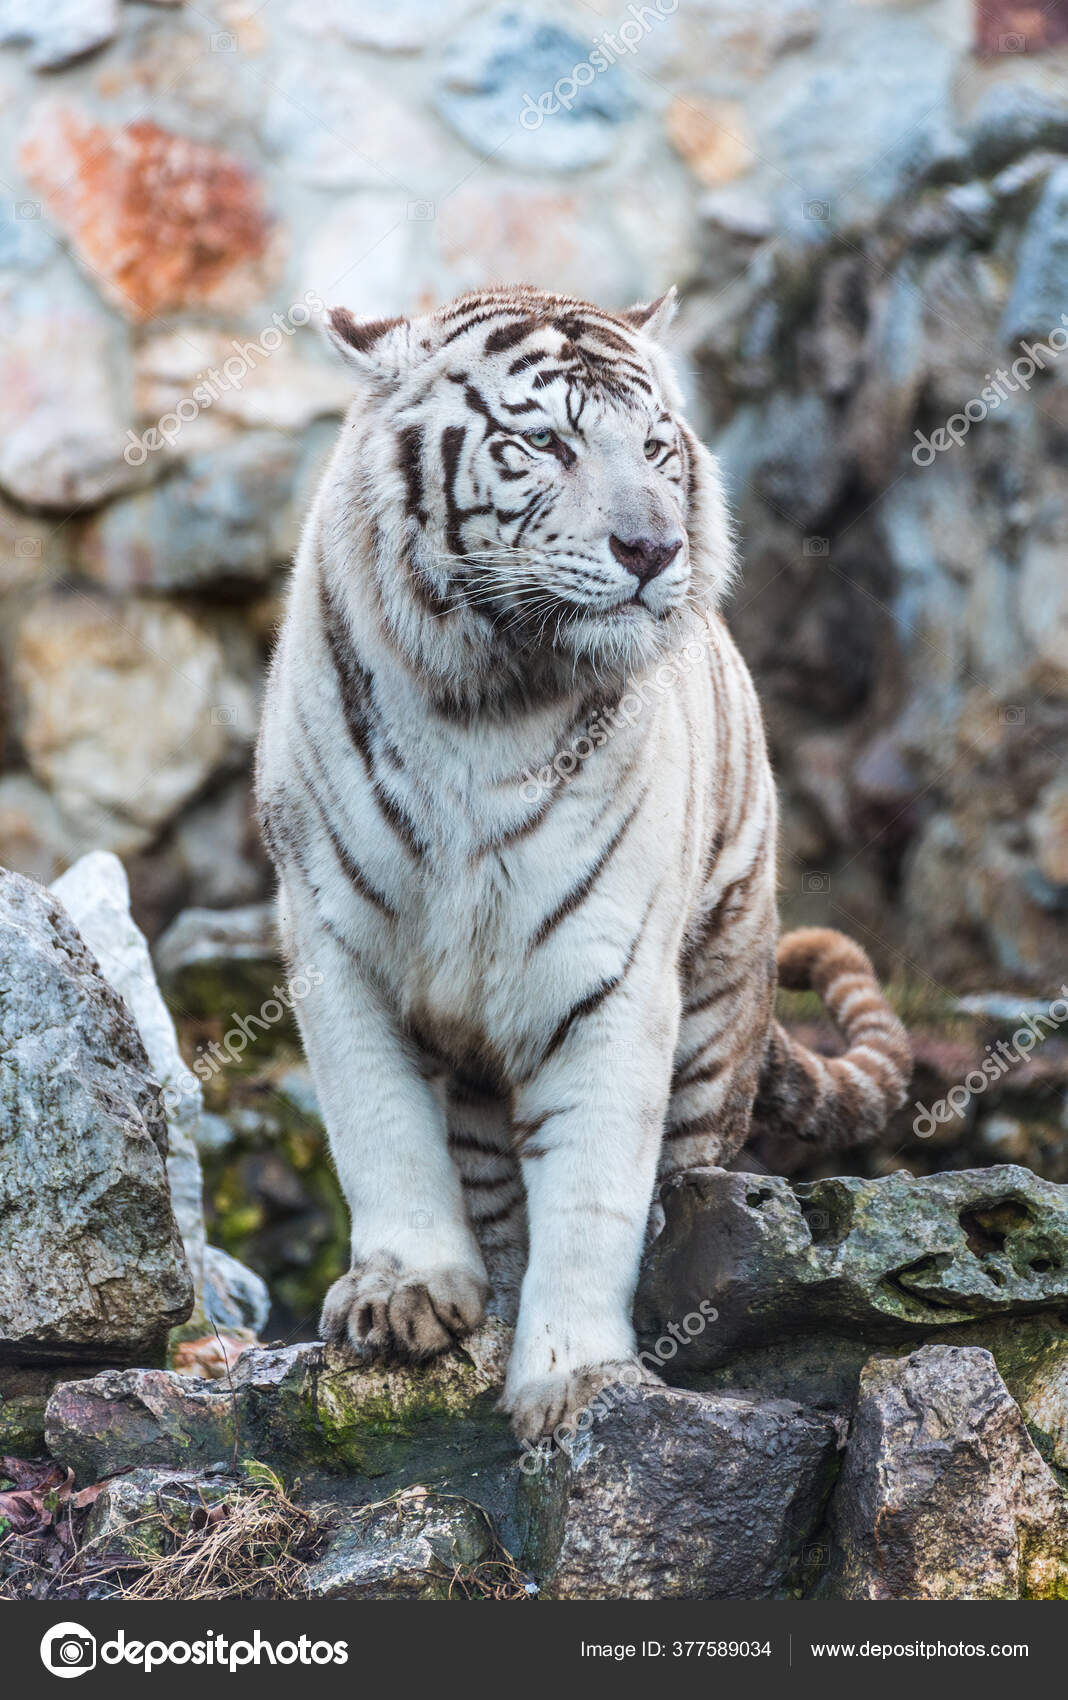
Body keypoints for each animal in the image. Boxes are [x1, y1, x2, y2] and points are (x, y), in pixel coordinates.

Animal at [255, 282, 912, 1443]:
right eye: (543, 444)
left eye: (653, 446)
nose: (651, 548)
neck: (481, 697)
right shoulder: (336, 942)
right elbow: (381, 1128)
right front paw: (404, 1293)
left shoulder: (608, 973)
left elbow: (597, 1188)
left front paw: (576, 1380)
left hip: (715, 1022)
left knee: (680, 1172)